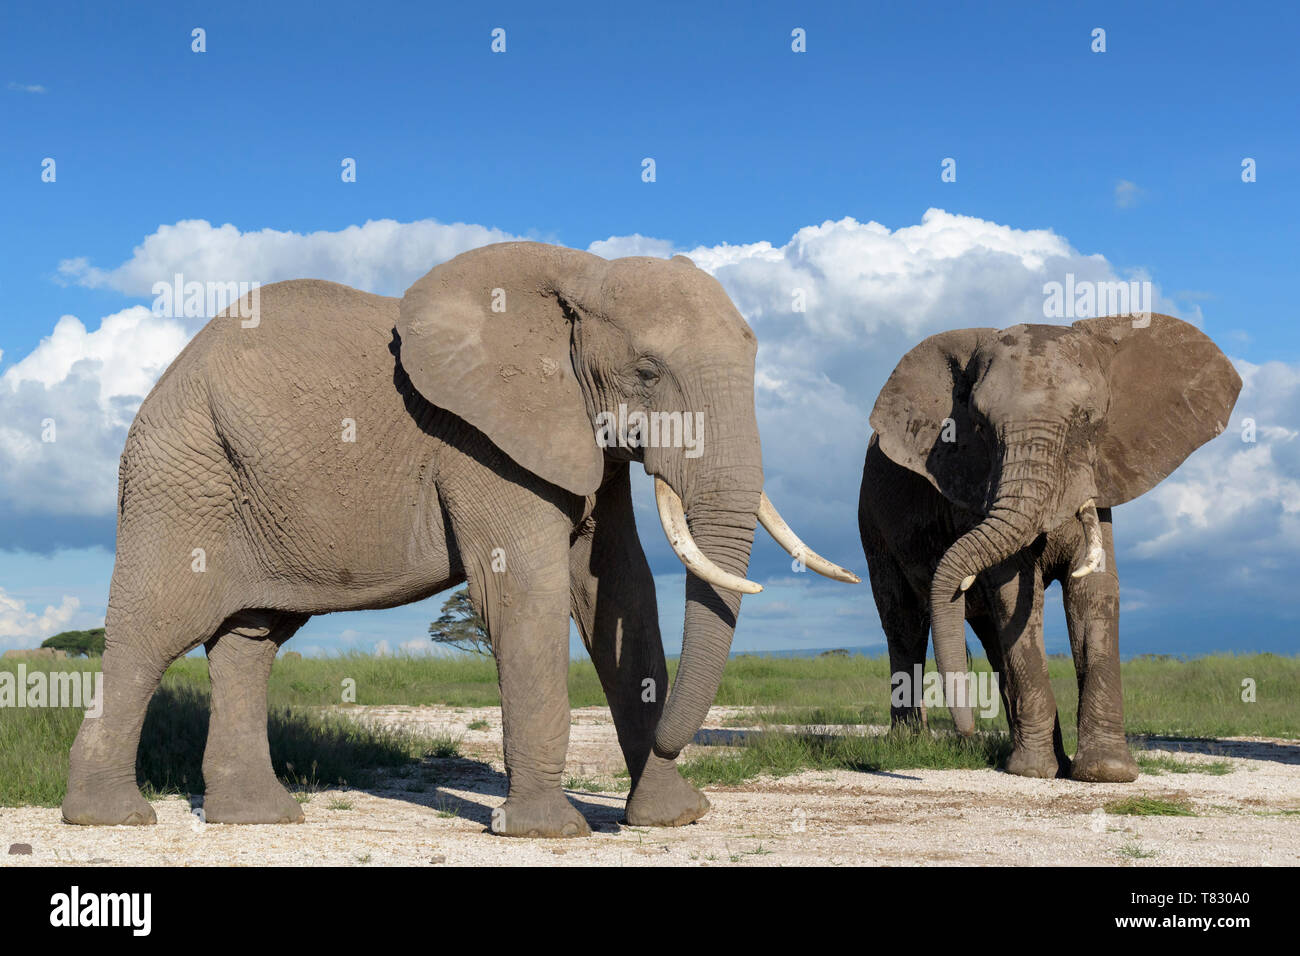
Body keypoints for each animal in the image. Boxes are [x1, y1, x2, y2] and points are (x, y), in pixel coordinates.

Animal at [62, 241, 858, 836]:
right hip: (183, 477)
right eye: (647, 370)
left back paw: (260, 820)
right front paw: (547, 832)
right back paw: (111, 819)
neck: (580, 274)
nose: (674, 743)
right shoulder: (480, 440)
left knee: (249, 639)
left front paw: (671, 820)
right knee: (154, 627)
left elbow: (619, 586)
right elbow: (529, 591)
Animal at [858, 314, 1240, 781]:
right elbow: (1012, 589)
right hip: (872, 522)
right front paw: (1034, 772)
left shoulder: (1102, 477)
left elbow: (1093, 593)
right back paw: (912, 744)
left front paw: (1105, 773)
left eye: (1087, 420)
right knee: (904, 624)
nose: (966, 731)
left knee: (989, 638)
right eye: (979, 426)